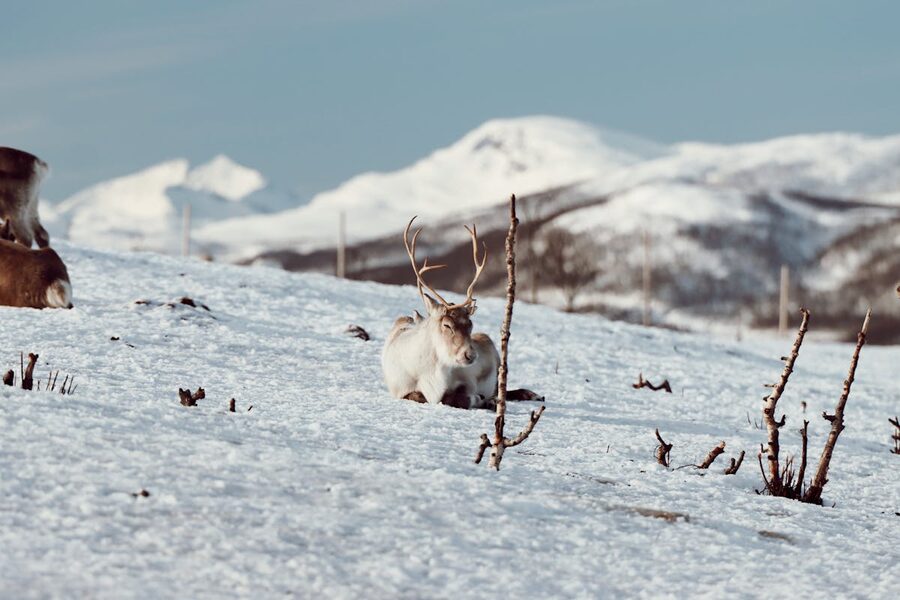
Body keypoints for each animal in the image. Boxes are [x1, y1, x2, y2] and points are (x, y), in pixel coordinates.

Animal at [381, 217, 542, 410]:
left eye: (470, 324)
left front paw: (482, 399)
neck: (430, 373)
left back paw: (532, 395)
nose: (471, 355)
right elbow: (421, 397)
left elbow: (457, 398)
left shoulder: (467, 380)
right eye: (447, 325)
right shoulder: (401, 390)